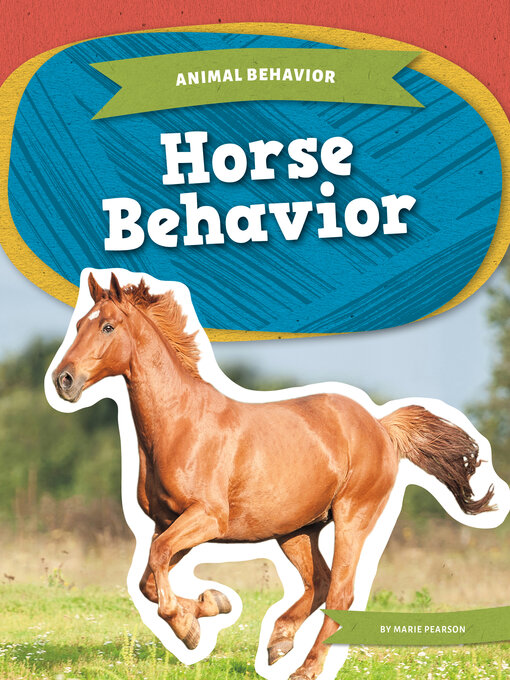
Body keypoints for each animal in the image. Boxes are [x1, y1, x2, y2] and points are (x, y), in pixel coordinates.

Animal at [48, 269, 509, 680]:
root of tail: (380, 425)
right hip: (296, 531)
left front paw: (191, 626)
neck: (180, 426)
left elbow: (158, 565)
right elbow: (148, 578)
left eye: (107, 326)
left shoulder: (206, 518)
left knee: (341, 591)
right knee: (319, 582)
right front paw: (210, 608)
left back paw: (306, 668)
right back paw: (278, 642)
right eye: (80, 324)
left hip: (352, 518)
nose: (63, 380)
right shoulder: (168, 522)